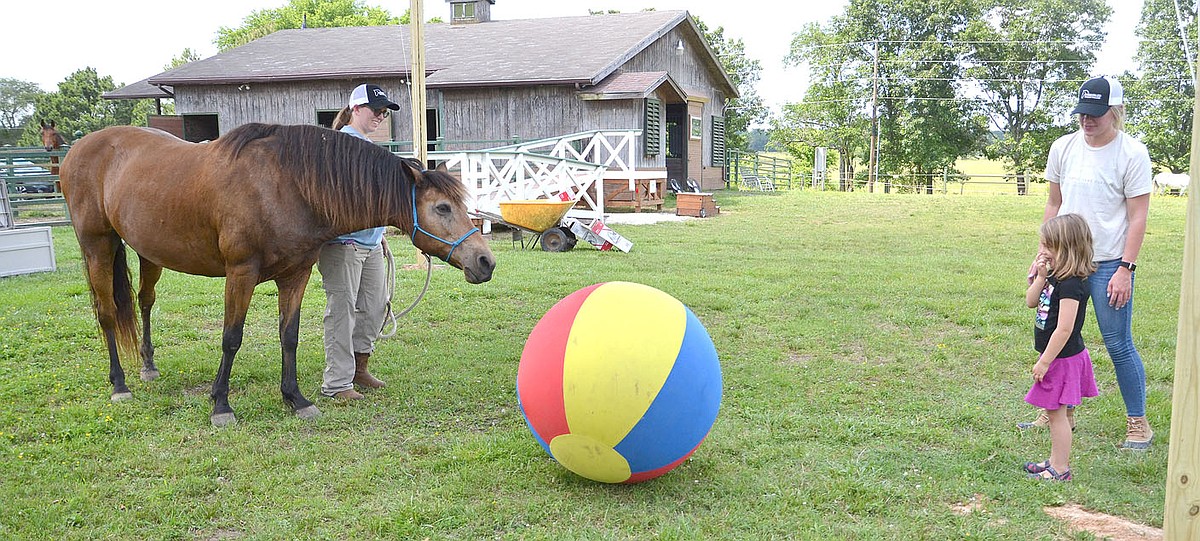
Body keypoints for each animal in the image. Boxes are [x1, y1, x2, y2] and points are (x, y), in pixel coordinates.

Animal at [59, 123, 496, 426]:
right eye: (442, 207)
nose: (485, 262)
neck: (287, 186)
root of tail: (78, 148)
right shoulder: (240, 274)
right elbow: (231, 338)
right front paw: (221, 405)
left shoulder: (295, 274)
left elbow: (290, 336)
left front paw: (296, 399)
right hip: (97, 245)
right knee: (107, 313)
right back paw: (120, 384)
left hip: (148, 252)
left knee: (144, 302)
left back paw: (148, 366)